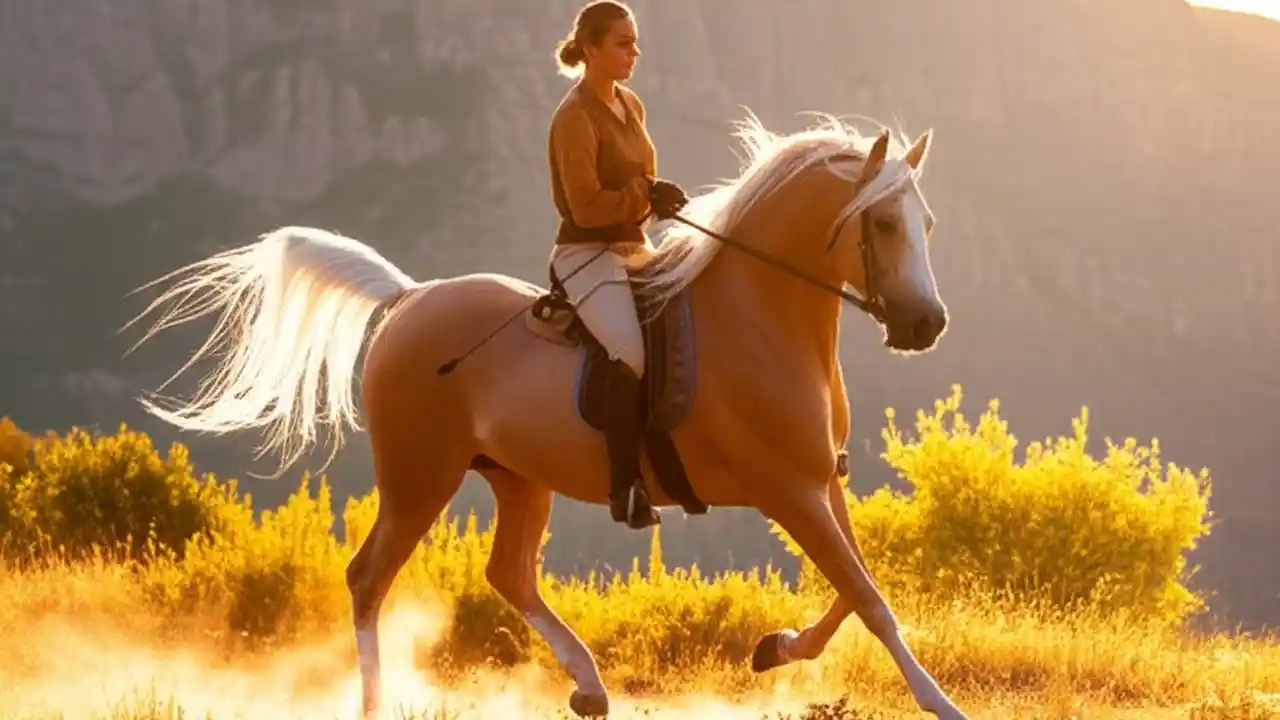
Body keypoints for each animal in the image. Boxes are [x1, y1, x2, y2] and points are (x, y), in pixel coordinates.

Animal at [122, 111, 968, 720]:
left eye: (927, 224)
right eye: (882, 224)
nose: (927, 325)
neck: (756, 320)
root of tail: (408, 299)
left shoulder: (819, 484)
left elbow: (852, 594)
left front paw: (774, 647)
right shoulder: (788, 492)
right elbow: (873, 601)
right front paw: (940, 703)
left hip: (517, 479)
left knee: (508, 574)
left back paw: (589, 687)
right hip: (418, 478)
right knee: (369, 578)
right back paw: (374, 703)